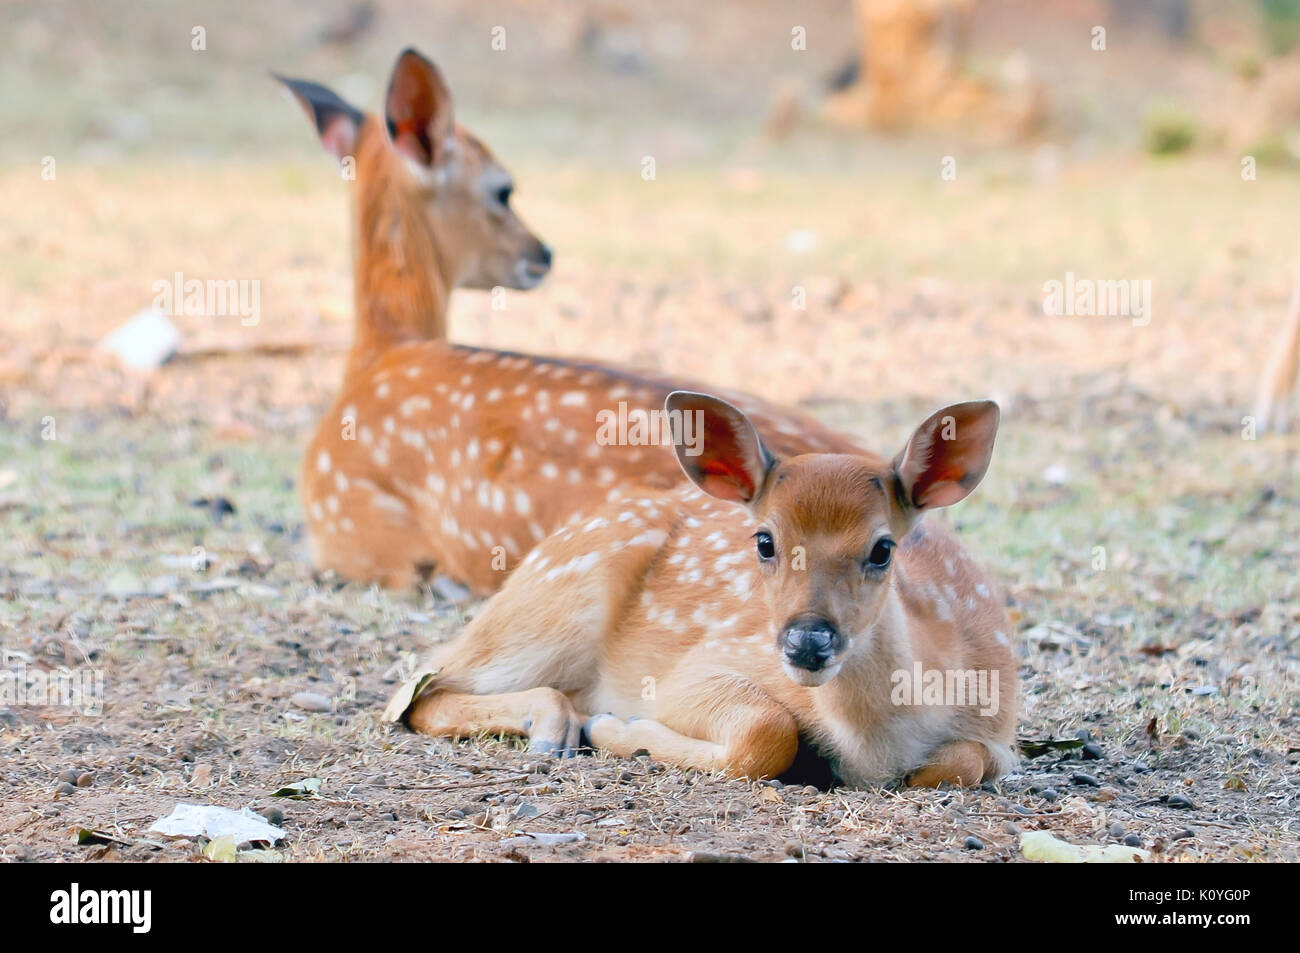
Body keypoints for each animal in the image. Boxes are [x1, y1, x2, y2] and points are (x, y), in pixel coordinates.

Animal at [385, 392, 1018, 787]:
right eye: (764, 541)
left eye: (883, 548)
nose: (806, 642)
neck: (880, 745)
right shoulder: (703, 666)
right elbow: (767, 733)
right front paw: (623, 731)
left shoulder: (1000, 727)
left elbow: (962, 762)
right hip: (554, 603)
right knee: (420, 687)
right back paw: (558, 728)